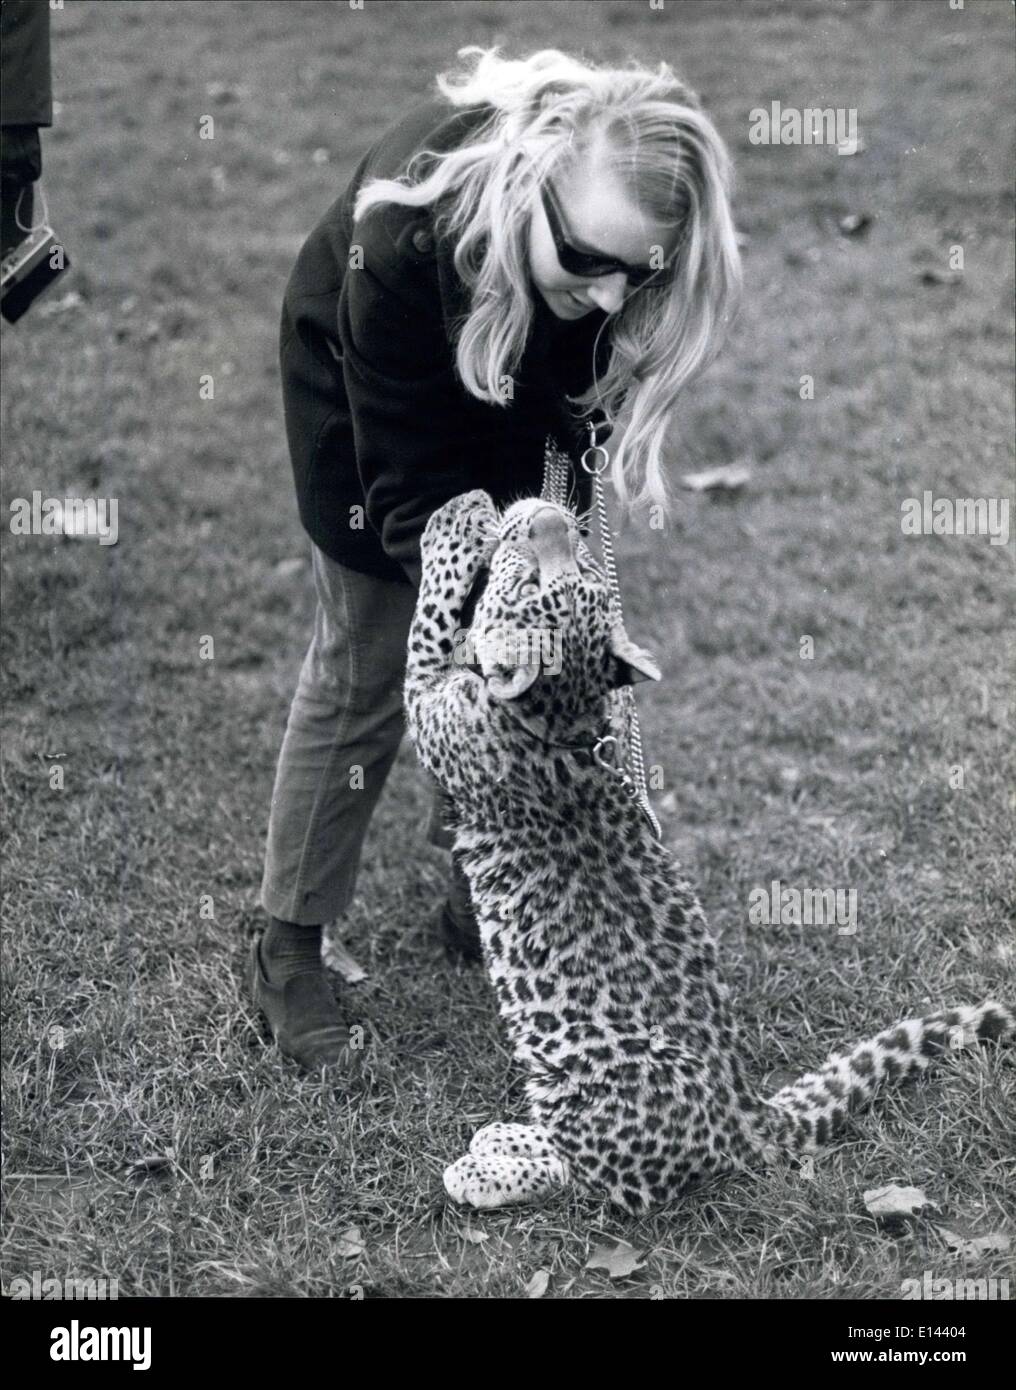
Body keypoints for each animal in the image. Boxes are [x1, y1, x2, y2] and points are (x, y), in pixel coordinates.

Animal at [404, 487, 1013, 1213]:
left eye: (575, 566)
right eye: (550, 572)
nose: (551, 514)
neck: (565, 714)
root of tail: (745, 1113)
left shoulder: (432, 709)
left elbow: (428, 623)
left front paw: (454, 523)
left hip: (581, 1087)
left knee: (596, 1181)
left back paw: (486, 1169)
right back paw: (504, 1138)